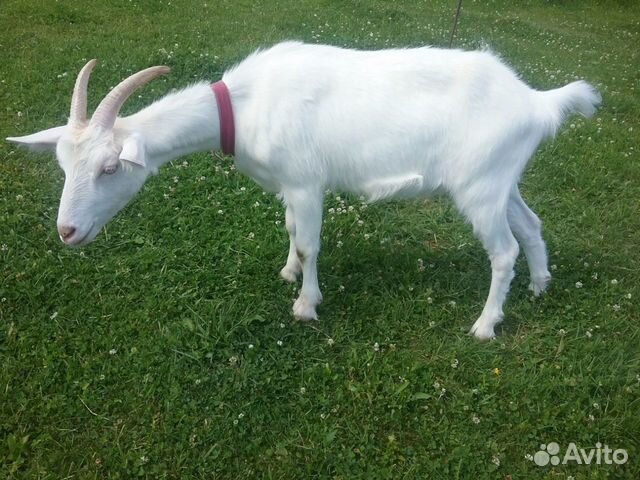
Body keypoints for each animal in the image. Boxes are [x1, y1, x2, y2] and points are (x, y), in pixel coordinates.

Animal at [7, 41, 601, 339]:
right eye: (63, 164)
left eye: (110, 167)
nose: (67, 231)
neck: (242, 106)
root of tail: (536, 102)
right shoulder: (287, 189)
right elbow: (292, 230)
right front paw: (289, 271)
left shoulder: (306, 181)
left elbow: (312, 242)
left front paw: (306, 304)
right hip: (500, 179)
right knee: (530, 225)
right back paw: (541, 286)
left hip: (478, 187)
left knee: (502, 251)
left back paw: (484, 324)